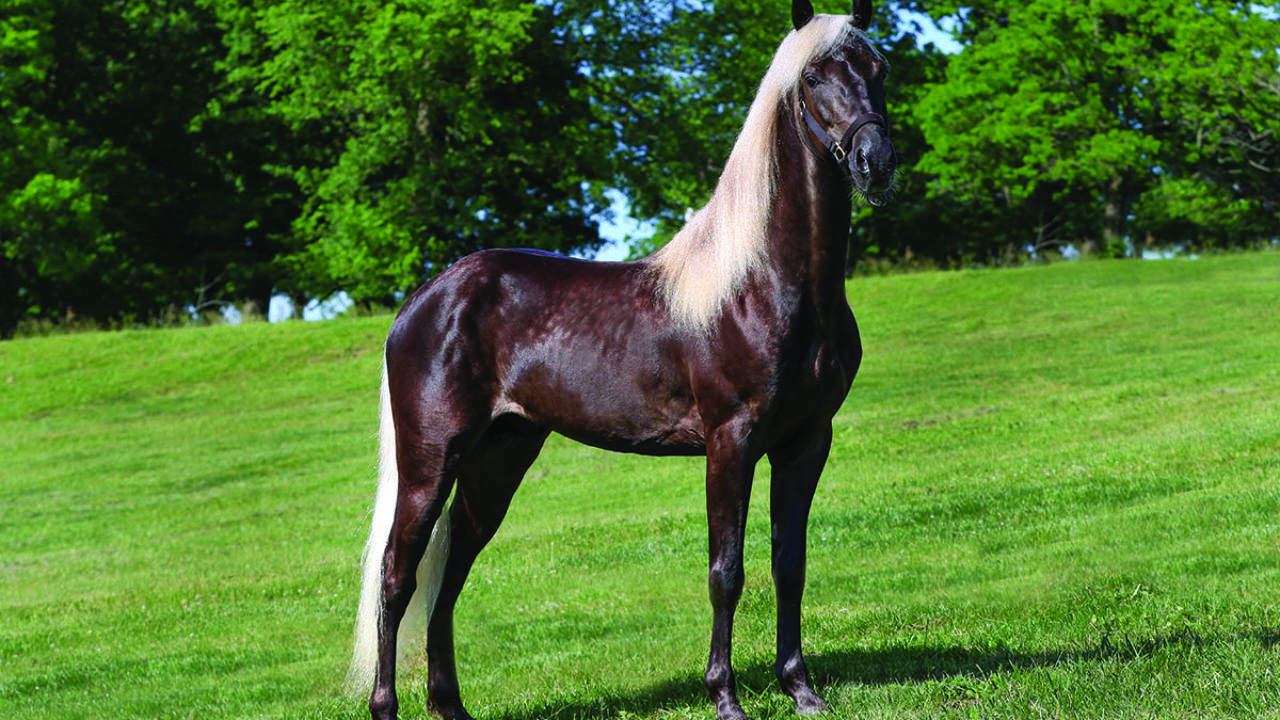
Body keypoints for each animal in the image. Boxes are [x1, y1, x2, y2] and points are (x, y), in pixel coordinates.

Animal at [351, 1, 896, 717]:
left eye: (878, 67)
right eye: (812, 77)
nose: (875, 161)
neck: (764, 282)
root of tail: (426, 297)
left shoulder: (806, 441)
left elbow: (790, 564)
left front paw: (802, 691)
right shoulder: (731, 441)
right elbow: (726, 570)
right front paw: (725, 697)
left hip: (498, 458)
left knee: (451, 571)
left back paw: (451, 705)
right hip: (430, 462)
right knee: (398, 574)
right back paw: (385, 704)